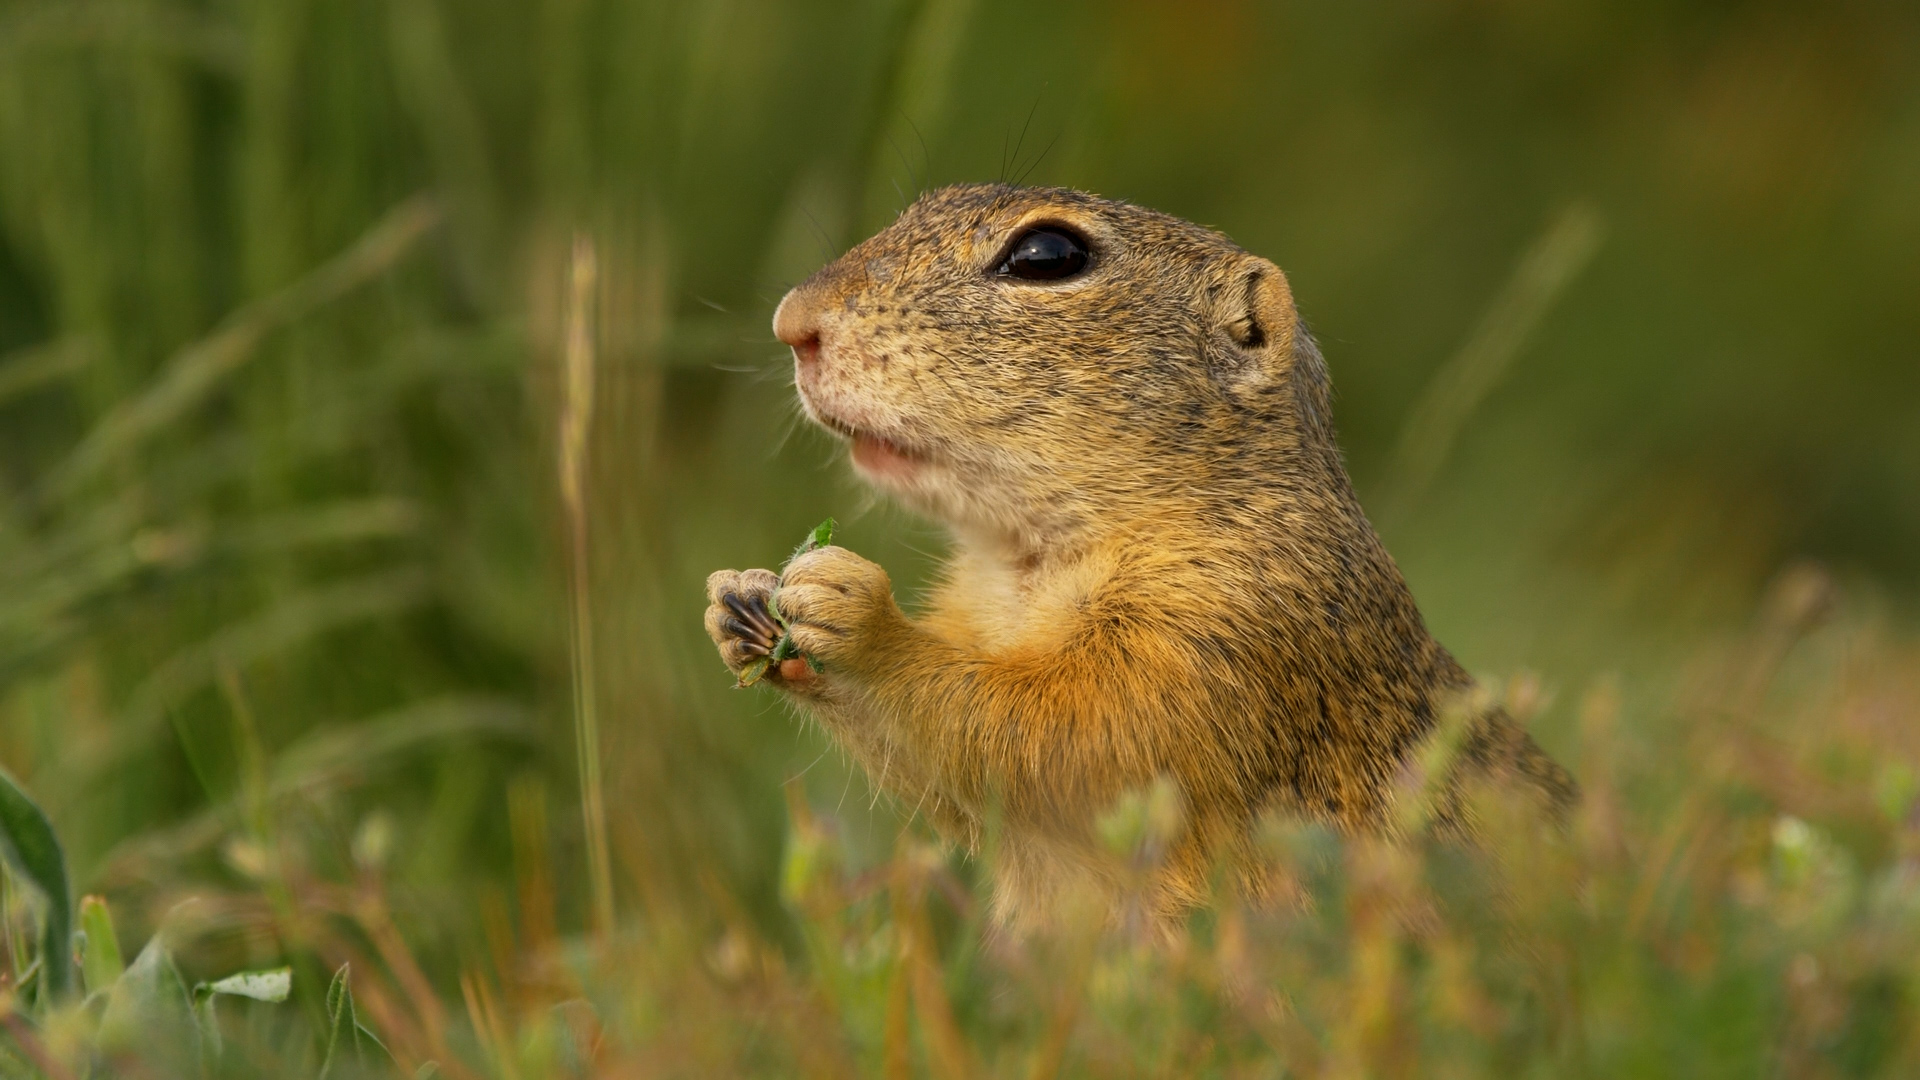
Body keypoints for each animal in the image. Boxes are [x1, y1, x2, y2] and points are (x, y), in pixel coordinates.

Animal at [705, 184, 1575, 929]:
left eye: (1048, 255)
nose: (792, 323)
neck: (1024, 560)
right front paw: (741, 603)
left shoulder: (1231, 630)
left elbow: (1066, 739)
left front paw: (858, 618)